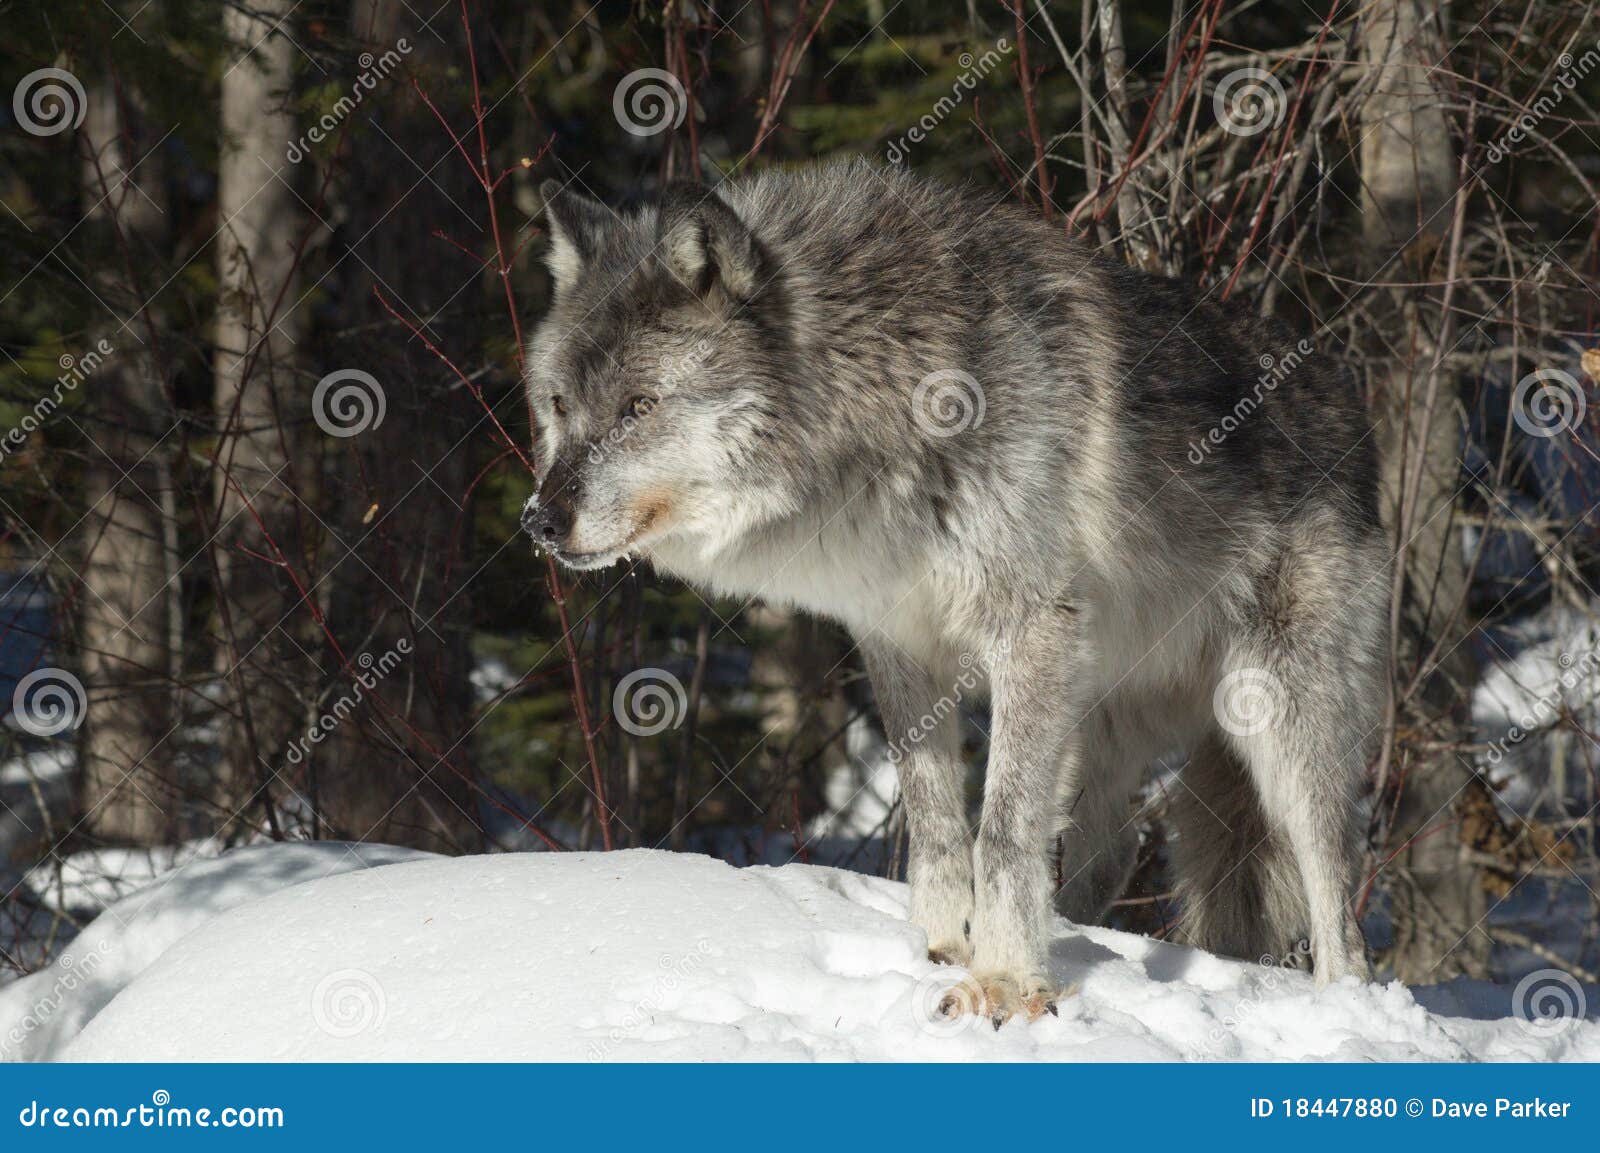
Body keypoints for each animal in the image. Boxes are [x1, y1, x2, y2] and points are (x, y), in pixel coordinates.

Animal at [523, 160, 1387, 1024]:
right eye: (559, 405)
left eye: (639, 406)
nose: (539, 519)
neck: (884, 383)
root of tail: (1346, 389)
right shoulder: (897, 642)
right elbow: (937, 821)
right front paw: (939, 950)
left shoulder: (1029, 630)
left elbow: (998, 832)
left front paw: (999, 984)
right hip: (1098, 724)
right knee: (1111, 851)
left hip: (1274, 715)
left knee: (1336, 885)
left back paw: (1342, 1006)